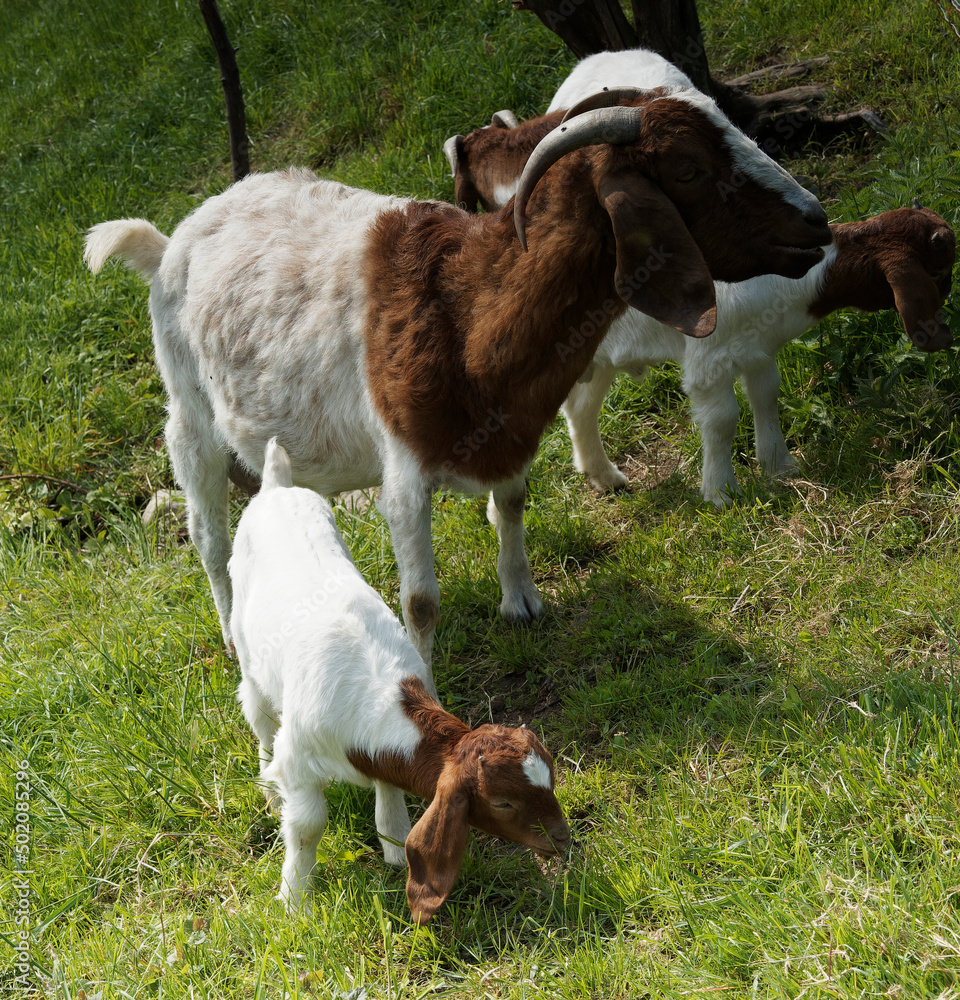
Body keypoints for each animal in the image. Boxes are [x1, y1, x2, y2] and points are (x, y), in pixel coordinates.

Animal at [85, 89, 831, 669]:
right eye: (689, 166)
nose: (818, 220)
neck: (466, 307)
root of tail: (170, 242)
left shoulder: (514, 432)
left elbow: (513, 505)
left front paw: (521, 599)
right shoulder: (405, 472)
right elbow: (421, 602)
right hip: (189, 416)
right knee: (209, 540)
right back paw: (233, 634)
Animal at [229, 439, 570, 923]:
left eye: (552, 777)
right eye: (502, 802)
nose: (562, 839)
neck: (377, 692)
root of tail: (277, 486)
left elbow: (388, 783)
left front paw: (392, 840)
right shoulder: (298, 758)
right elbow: (308, 826)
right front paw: (294, 902)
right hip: (246, 645)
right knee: (258, 716)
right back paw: (268, 789)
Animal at [444, 109, 955, 503]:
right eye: (936, 271)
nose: (948, 313)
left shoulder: (759, 349)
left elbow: (766, 395)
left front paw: (779, 466)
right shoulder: (711, 357)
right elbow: (723, 418)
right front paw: (721, 493)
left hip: (596, 358)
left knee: (581, 406)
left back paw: (604, 477)